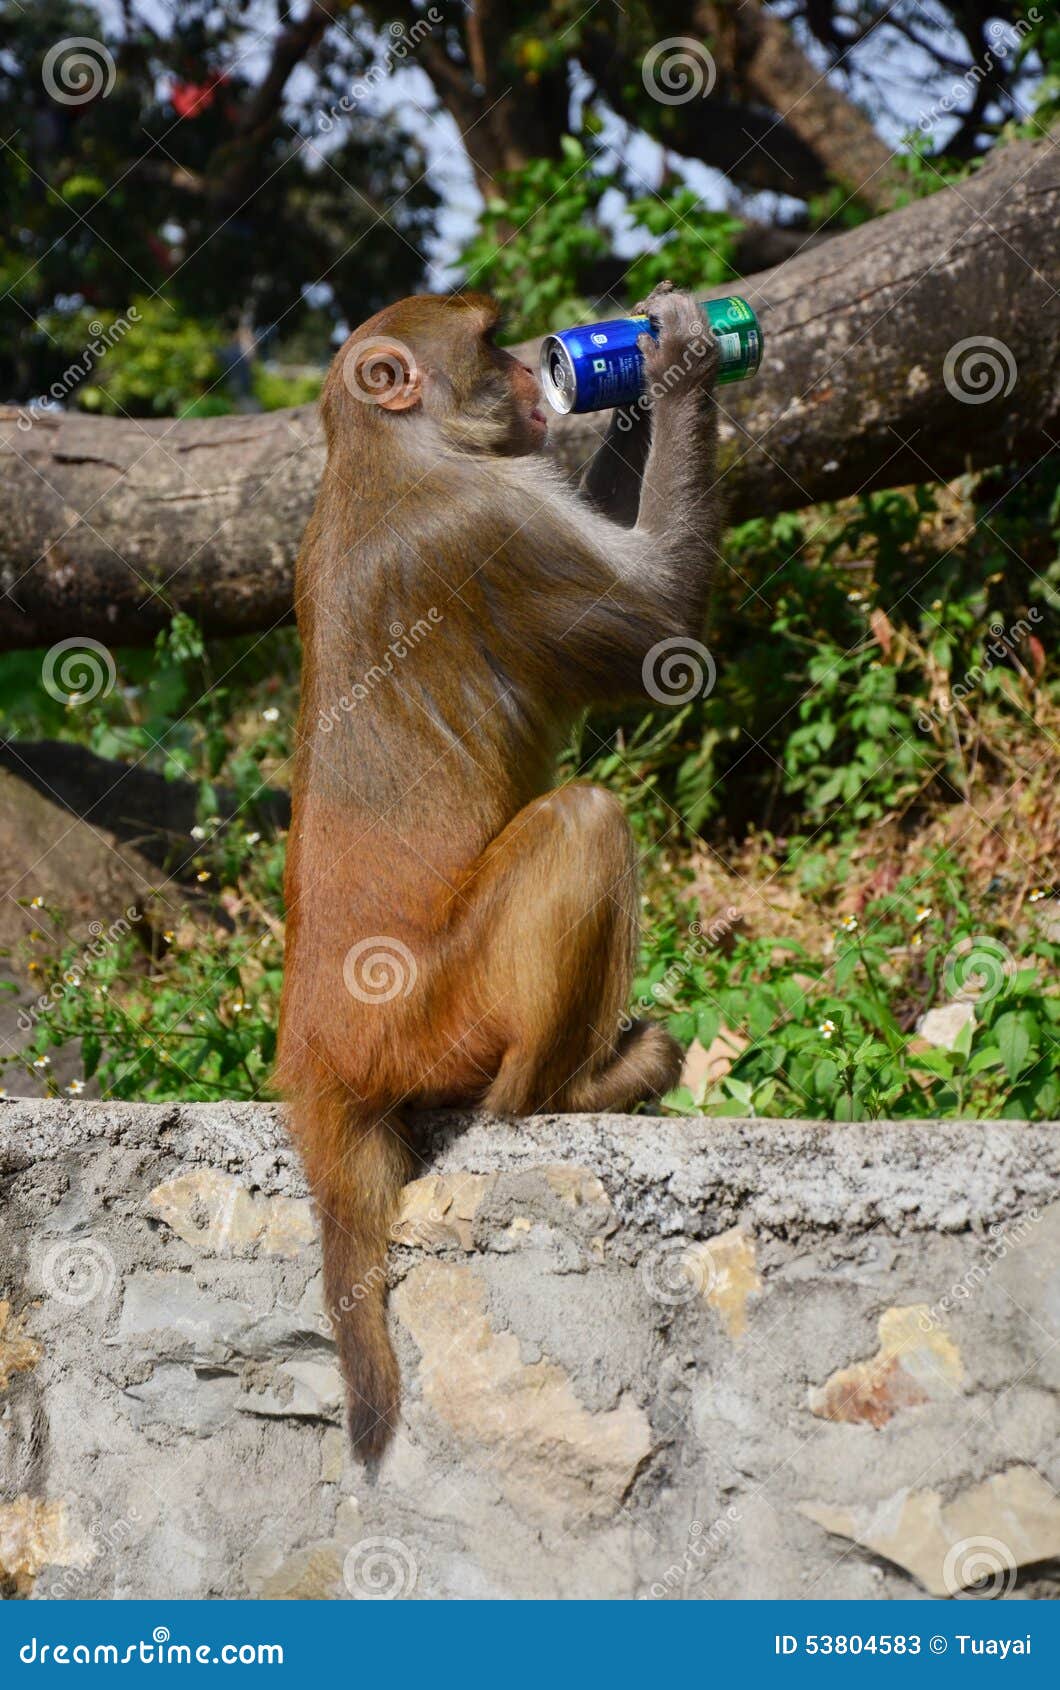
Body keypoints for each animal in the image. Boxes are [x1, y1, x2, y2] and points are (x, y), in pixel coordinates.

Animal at [277, 282, 721, 1459]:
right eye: (488, 341)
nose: (539, 370)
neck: (385, 451)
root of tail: (312, 1048)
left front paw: (634, 360)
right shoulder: (492, 525)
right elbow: (664, 629)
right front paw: (683, 355)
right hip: (438, 1017)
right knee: (584, 821)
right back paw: (566, 1091)